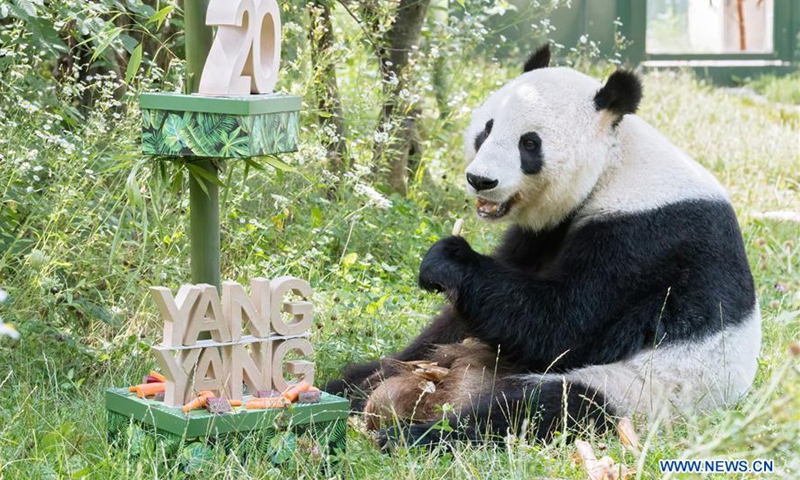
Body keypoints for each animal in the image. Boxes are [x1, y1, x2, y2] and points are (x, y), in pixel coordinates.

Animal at [326, 44, 761, 448]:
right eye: (487, 129)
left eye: (530, 144)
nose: (480, 180)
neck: (614, 162)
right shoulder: (544, 233)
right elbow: (480, 309)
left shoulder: (647, 235)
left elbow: (565, 324)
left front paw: (448, 259)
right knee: (395, 367)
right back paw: (341, 391)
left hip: (640, 390)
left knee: (540, 410)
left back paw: (417, 435)